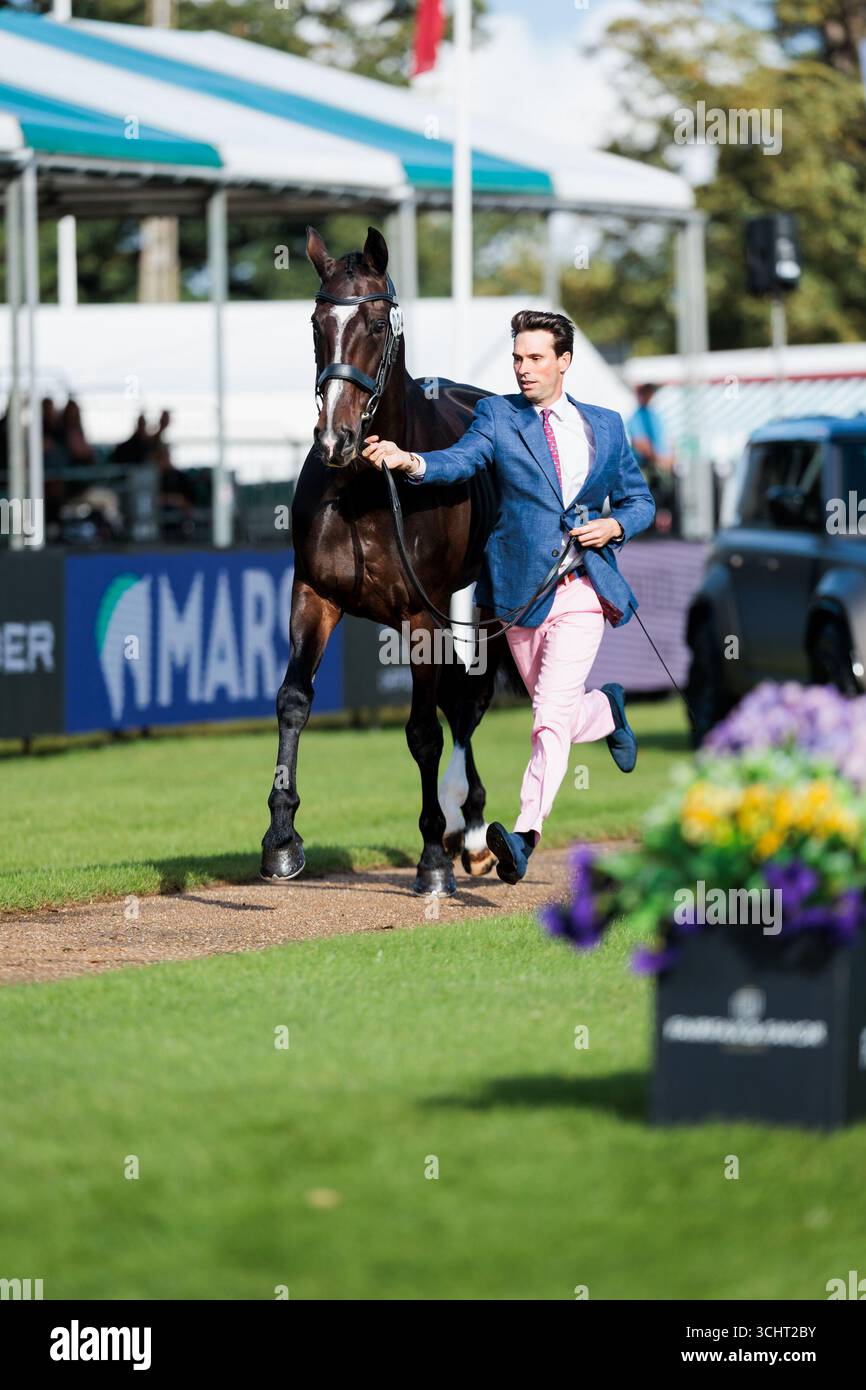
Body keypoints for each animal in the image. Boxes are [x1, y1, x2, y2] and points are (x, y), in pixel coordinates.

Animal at [260, 223, 520, 895]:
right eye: (317, 322)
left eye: (376, 324)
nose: (336, 439)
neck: (372, 488)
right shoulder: (314, 596)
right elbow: (293, 701)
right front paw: (281, 839)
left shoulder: (422, 617)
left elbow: (424, 731)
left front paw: (431, 858)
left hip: (482, 606)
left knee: (467, 703)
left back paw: (469, 832)